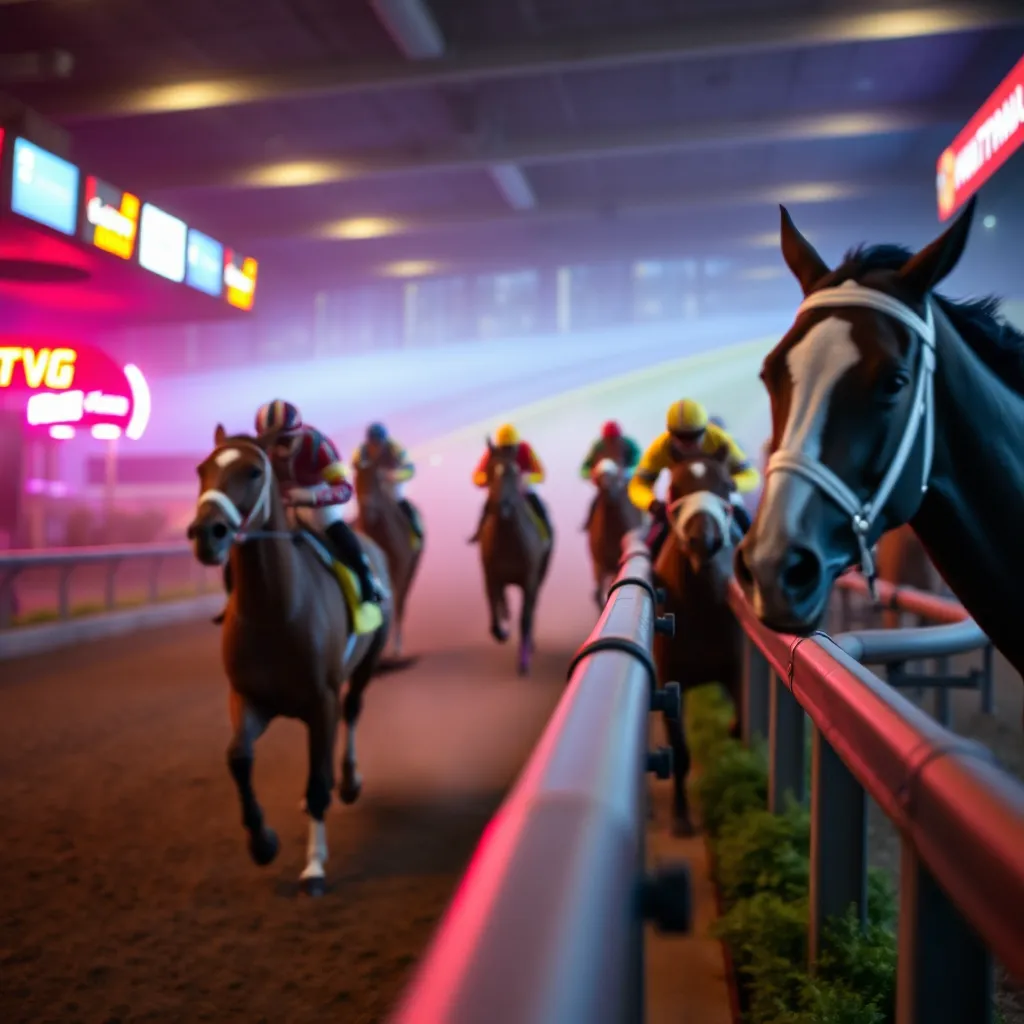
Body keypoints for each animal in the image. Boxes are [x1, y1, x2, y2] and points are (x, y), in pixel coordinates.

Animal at [186, 425, 392, 896]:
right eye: (202, 469)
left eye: (253, 471)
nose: (208, 533)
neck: (276, 610)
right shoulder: (248, 698)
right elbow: (238, 758)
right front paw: (263, 842)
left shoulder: (322, 699)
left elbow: (317, 781)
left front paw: (314, 866)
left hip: (367, 662)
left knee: (353, 711)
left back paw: (349, 781)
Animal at [352, 449, 423, 658]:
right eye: (356, 480)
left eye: (375, 480)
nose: (367, 511)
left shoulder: (399, 569)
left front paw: (395, 647)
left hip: (411, 570)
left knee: (401, 603)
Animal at [477, 439, 552, 676]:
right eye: (490, 469)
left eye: (515, 471)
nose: (502, 506)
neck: (508, 540)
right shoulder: (490, 576)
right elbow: (495, 616)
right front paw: (503, 631)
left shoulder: (529, 578)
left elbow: (525, 618)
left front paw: (524, 660)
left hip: (541, 574)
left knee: (532, 607)